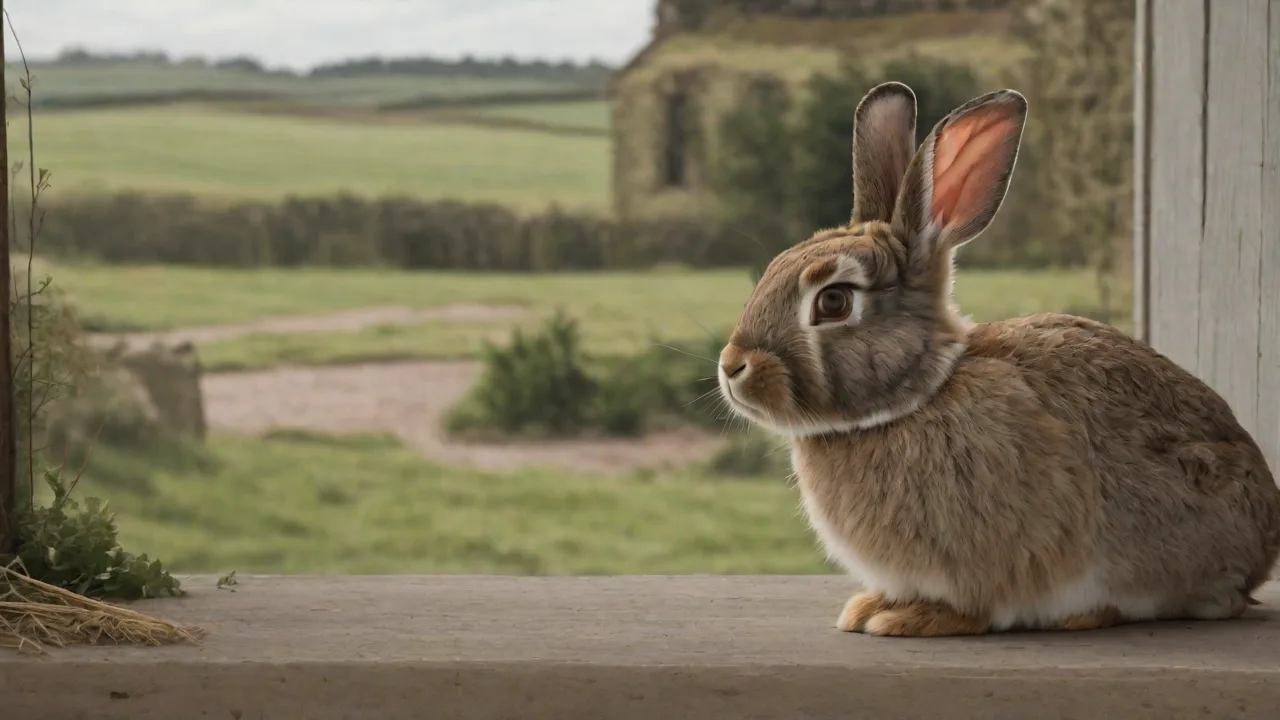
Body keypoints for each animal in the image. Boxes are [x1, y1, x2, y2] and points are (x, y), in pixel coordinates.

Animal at [716, 81, 1280, 637]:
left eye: (834, 301)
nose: (731, 366)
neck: (919, 395)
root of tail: (1264, 544)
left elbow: (977, 604)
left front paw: (907, 618)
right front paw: (866, 607)